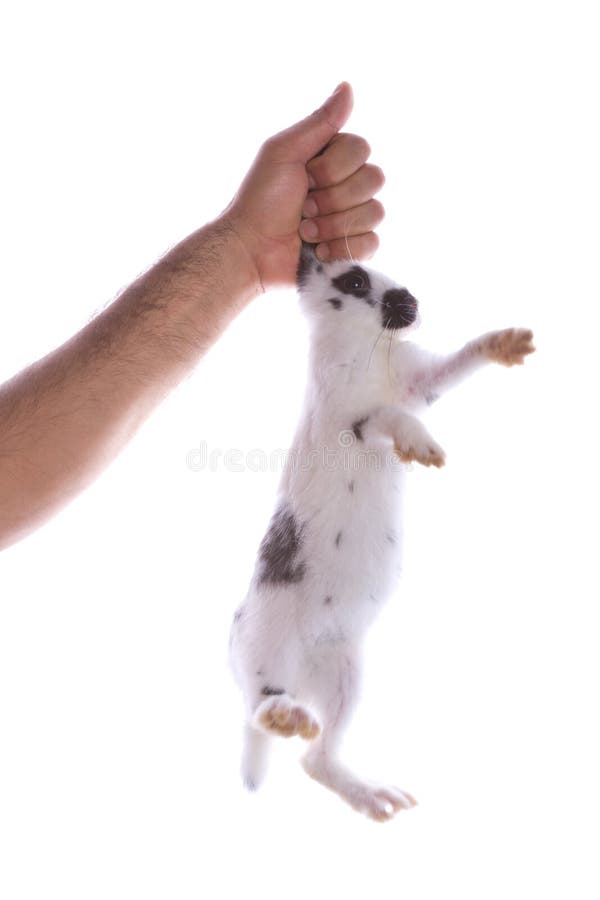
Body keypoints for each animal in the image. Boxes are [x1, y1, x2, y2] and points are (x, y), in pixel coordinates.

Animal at [228, 242, 535, 822]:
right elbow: (390, 419)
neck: (367, 348)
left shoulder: (421, 382)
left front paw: (510, 343)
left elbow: (456, 363)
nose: (409, 299)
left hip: (347, 677)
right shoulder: (358, 424)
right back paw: (286, 719)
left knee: (315, 758)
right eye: (353, 282)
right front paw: (425, 451)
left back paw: (377, 799)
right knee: (259, 710)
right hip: (266, 652)